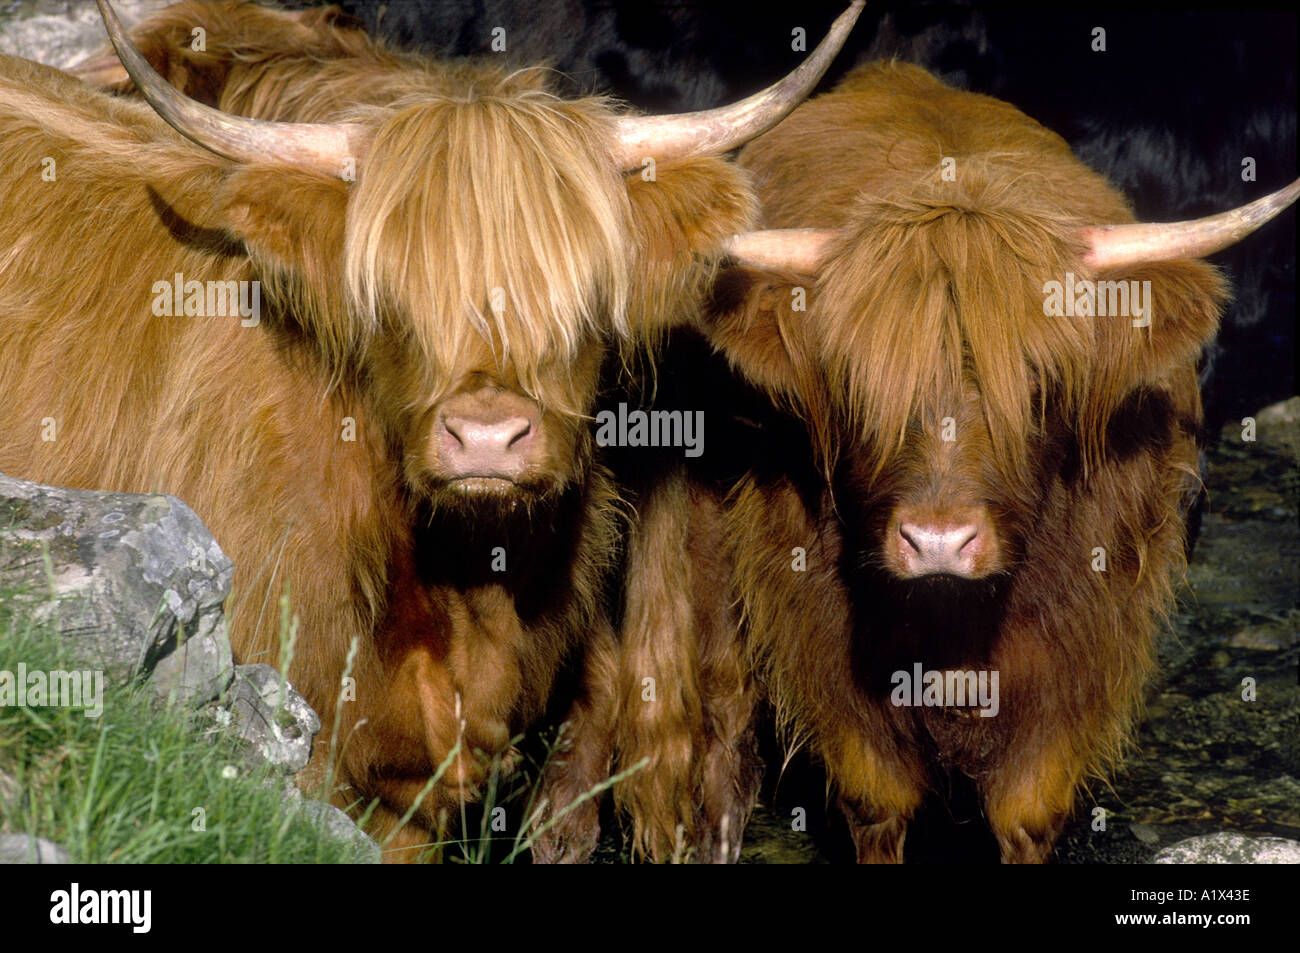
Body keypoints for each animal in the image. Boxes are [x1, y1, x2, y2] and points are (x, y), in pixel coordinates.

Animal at [612, 60, 1299, 863]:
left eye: (1038, 382)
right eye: (856, 384)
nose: (938, 541)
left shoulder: (1081, 650)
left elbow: (1028, 812)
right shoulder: (823, 636)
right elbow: (875, 801)